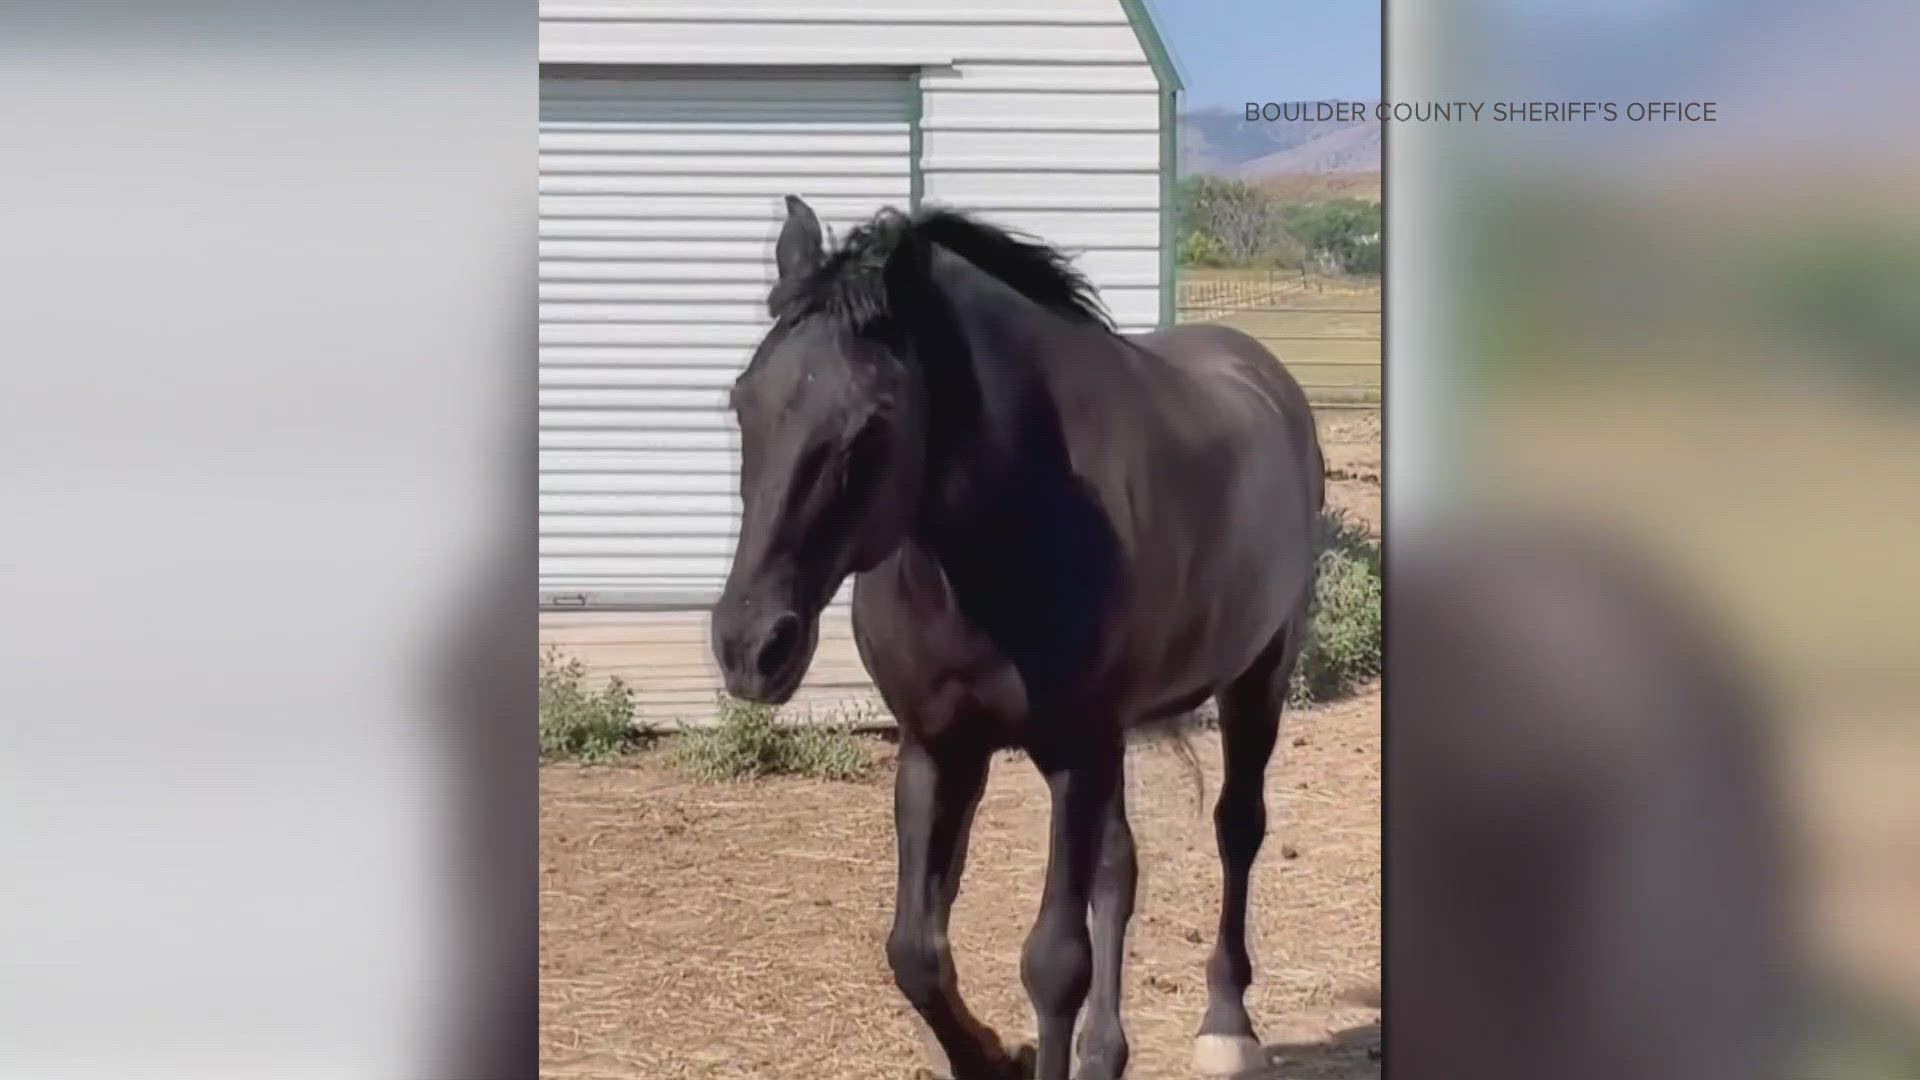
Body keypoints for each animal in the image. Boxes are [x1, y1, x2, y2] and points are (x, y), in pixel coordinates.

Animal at [710, 196, 1325, 1080]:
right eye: (744, 402)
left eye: (870, 425)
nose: (750, 646)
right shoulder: (940, 747)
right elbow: (917, 950)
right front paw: (995, 1055)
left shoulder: (1074, 752)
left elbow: (1055, 961)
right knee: (1120, 866)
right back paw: (1106, 1052)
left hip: (1259, 677)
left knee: (1237, 828)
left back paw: (1225, 1024)